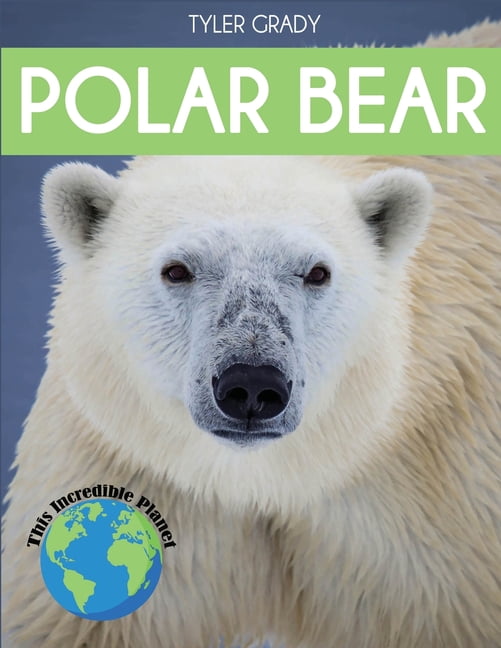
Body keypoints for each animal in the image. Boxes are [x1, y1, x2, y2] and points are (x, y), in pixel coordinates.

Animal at [2, 25, 501, 648]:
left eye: (317, 271)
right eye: (177, 270)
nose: (252, 387)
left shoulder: (435, 505)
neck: (261, 479)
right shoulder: (125, 461)